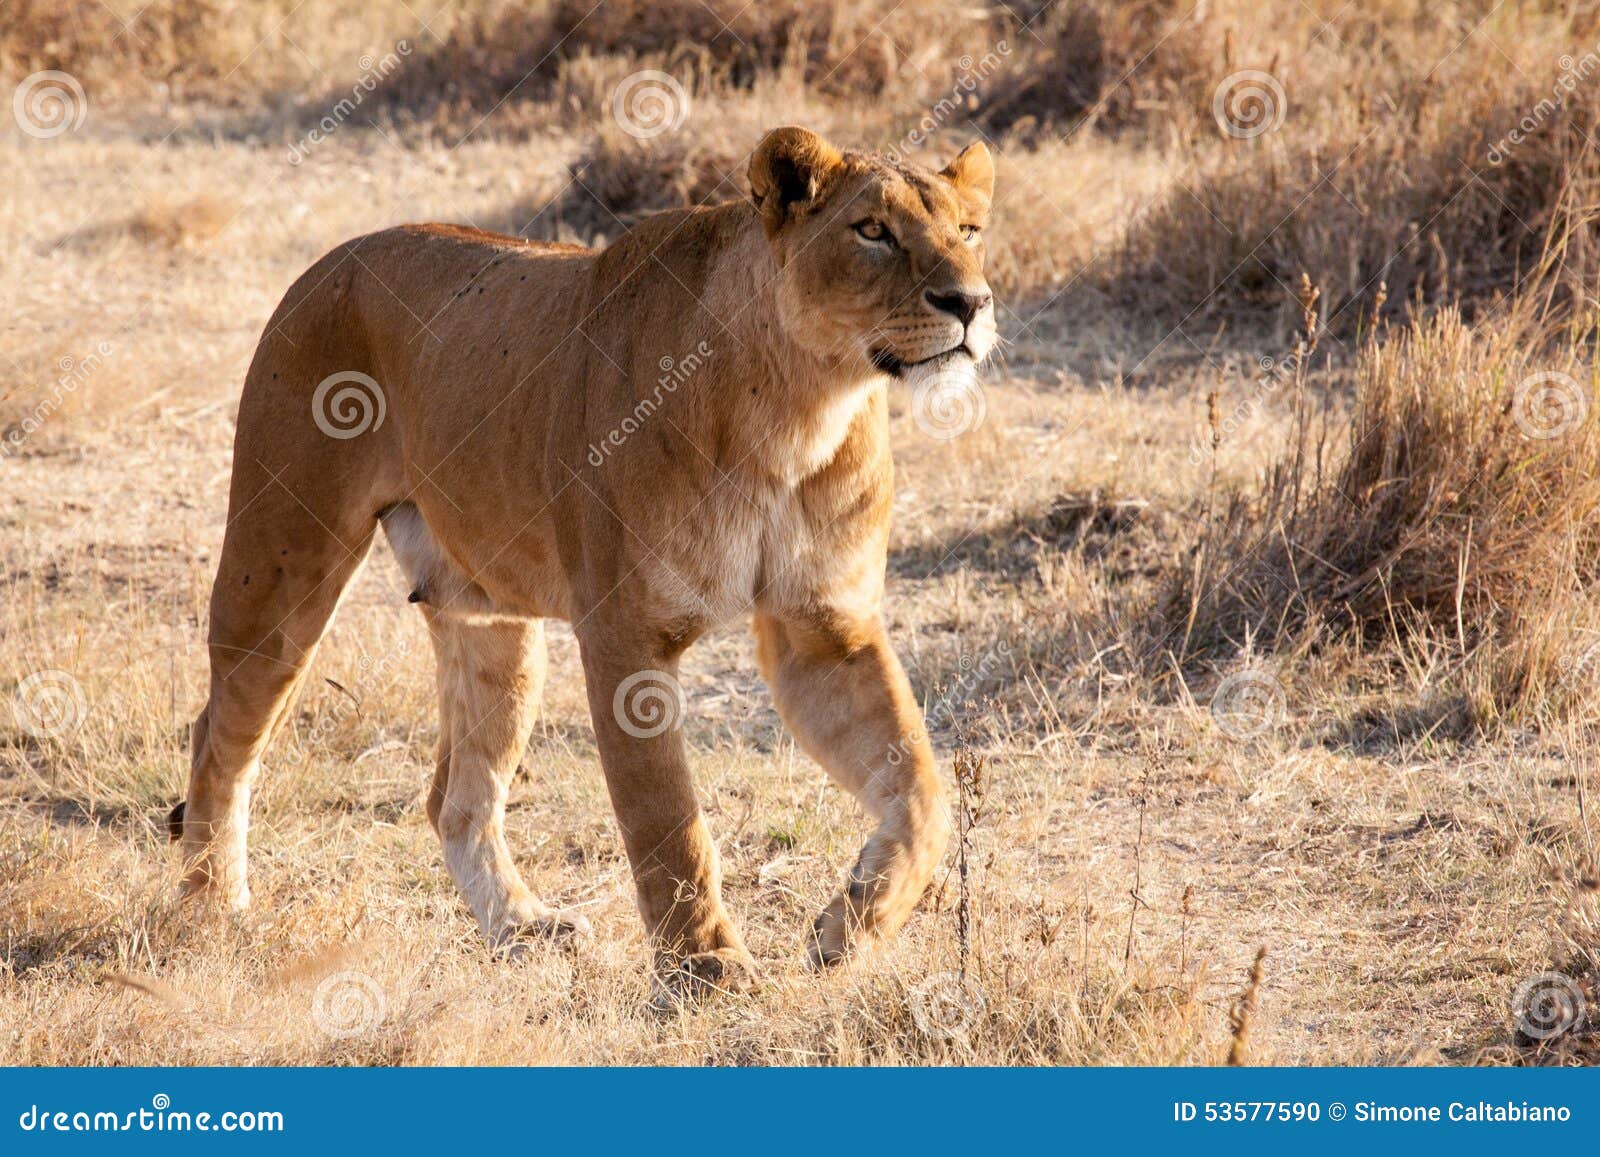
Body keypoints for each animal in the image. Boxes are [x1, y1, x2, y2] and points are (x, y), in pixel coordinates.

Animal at [169, 125, 997, 1002]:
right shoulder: (626, 637)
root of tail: (327, 262)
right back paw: (211, 909)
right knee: (220, 737)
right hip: (282, 559)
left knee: (454, 796)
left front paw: (852, 924)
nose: (970, 304)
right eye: (873, 231)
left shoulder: (825, 629)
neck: (801, 405)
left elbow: (921, 787)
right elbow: (666, 816)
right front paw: (706, 967)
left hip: (494, 626)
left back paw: (521, 927)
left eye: (969, 230)